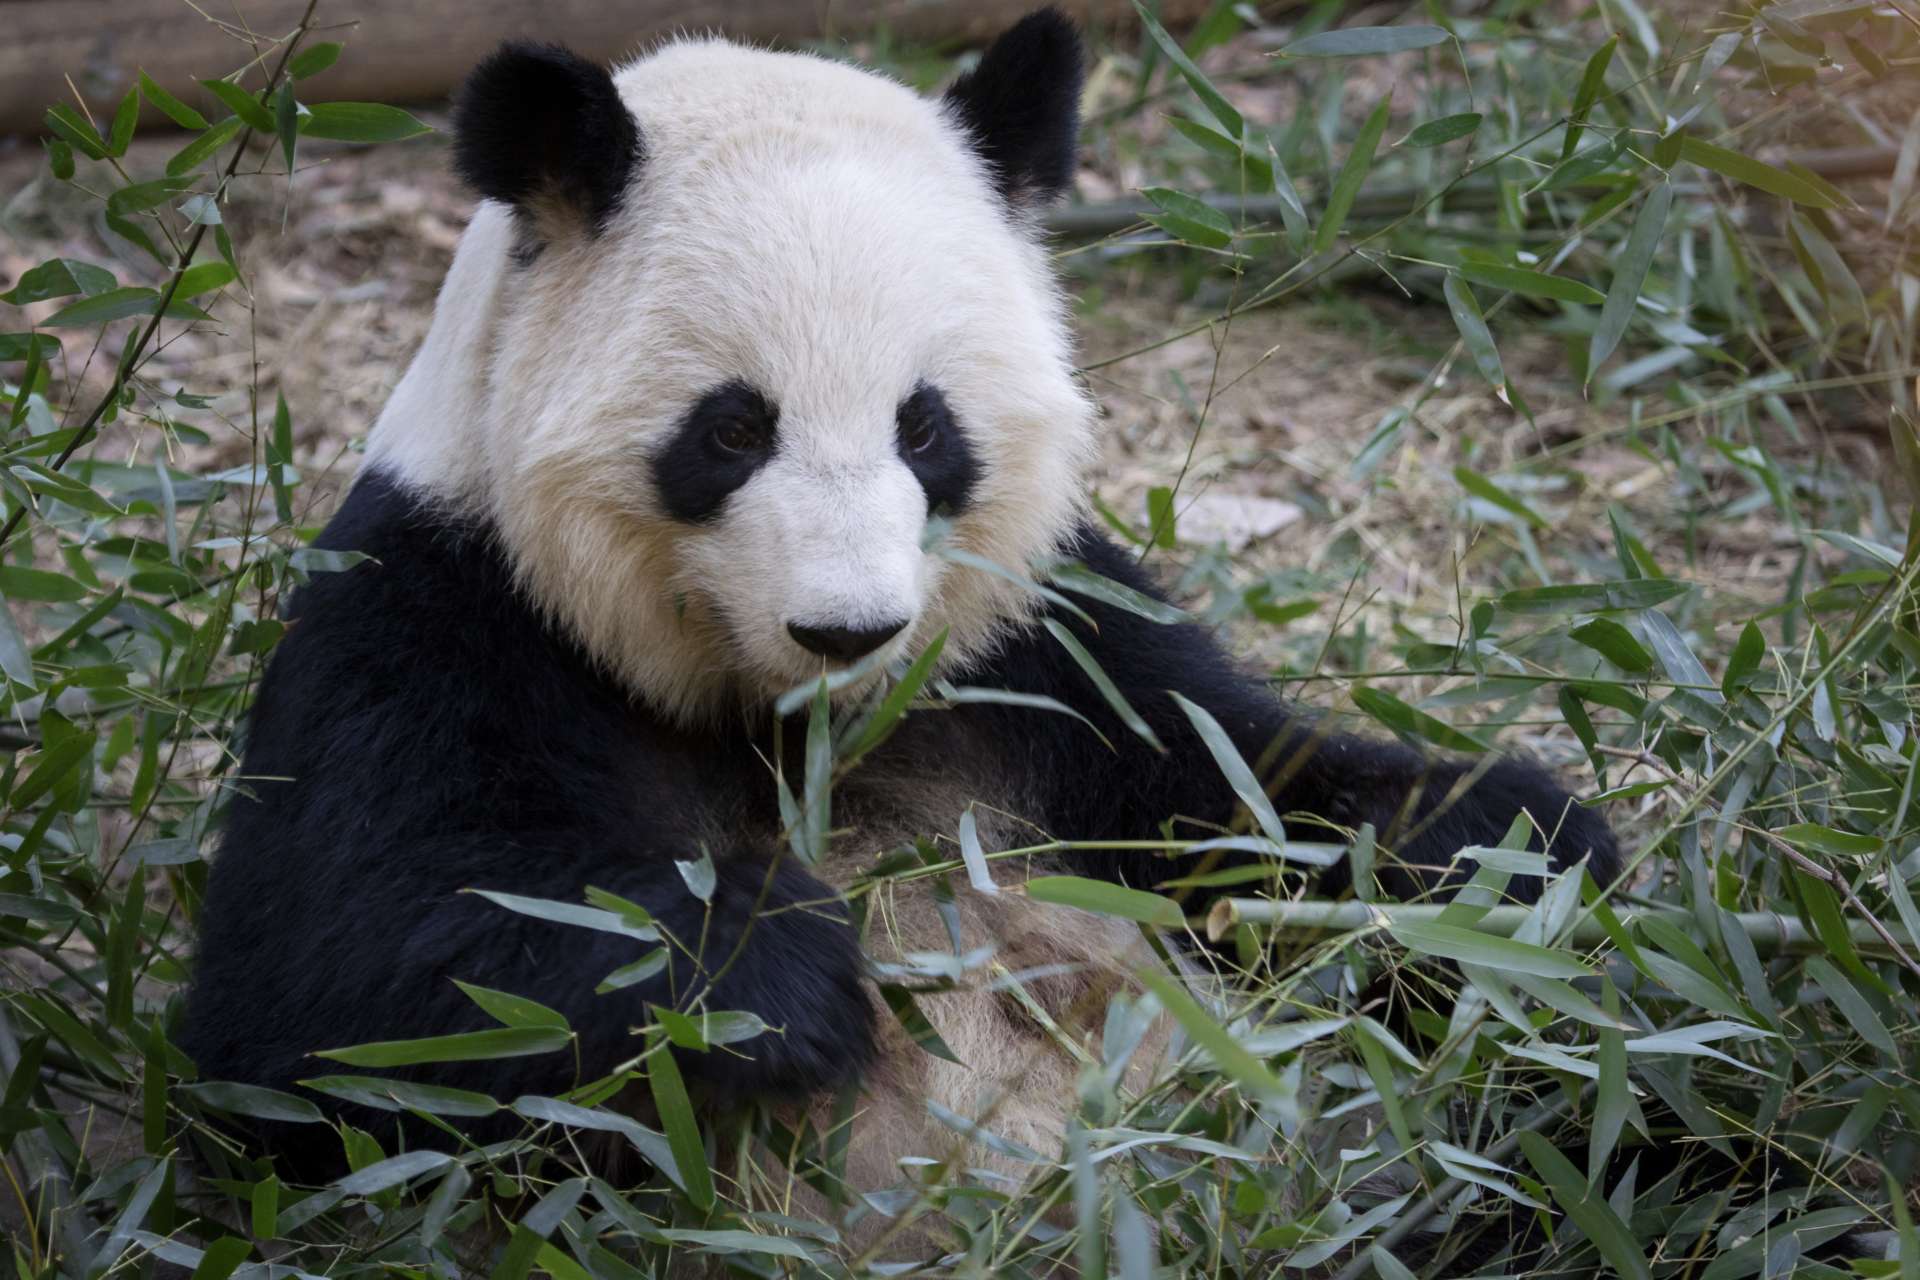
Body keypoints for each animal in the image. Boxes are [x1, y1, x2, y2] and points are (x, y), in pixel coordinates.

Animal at [181, 5, 1619, 1253]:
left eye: (924, 427)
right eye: (732, 429)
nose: (849, 628)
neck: (786, 720)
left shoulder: (1044, 646)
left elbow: (1248, 797)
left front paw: (1504, 852)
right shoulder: (438, 613)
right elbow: (329, 1007)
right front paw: (770, 969)